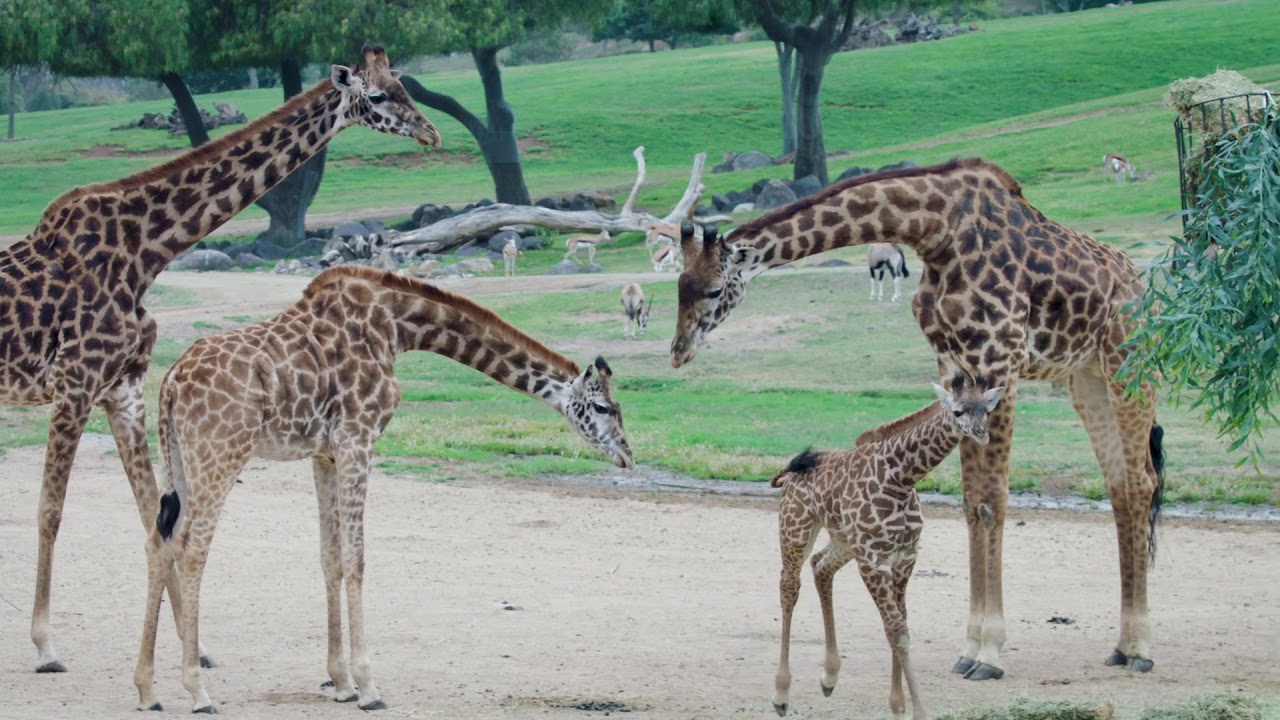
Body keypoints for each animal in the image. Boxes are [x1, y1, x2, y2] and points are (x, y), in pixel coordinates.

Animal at [0, 43, 440, 674]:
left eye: (405, 85)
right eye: (379, 95)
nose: (430, 132)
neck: (146, 252)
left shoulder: (123, 387)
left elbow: (154, 514)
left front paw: (197, 649)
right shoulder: (76, 382)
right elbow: (50, 510)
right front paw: (45, 644)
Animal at [133, 266, 633, 713]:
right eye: (604, 408)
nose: (629, 455)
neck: (395, 327)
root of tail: (171, 383)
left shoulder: (325, 454)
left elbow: (330, 558)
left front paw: (341, 683)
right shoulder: (359, 439)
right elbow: (356, 560)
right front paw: (369, 686)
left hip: (177, 456)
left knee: (159, 540)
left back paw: (147, 690)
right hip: (221, 452)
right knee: (192, 547)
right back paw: (197, 691)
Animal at [670, 158, 1167, 680]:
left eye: (714, 289)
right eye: (678, 285)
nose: (678, 352)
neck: (934, 231)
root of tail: (1143, 287)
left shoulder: (999, 358)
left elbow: (992, 502)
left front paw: (990, 653)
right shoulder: (953, 363)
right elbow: (971, 503)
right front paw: (970, 647)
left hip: (1129, 365)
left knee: (1141, 483)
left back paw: (1141, 647)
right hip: (1086, 377)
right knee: (1120, 486)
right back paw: (1121, 645)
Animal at [771, 383, 1005, 720]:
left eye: (986, 410)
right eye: (958, 411)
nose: (981, 434)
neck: (901, 479)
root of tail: (789, 473)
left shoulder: (904, 557)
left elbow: (901, 623)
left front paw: (897, 705)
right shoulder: (873, 560)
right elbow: (896, 630)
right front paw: (918, 710)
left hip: (843, 540)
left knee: (820, 566)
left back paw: (829, 677)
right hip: (796, 528)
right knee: (789, 586)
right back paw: (781, 694)